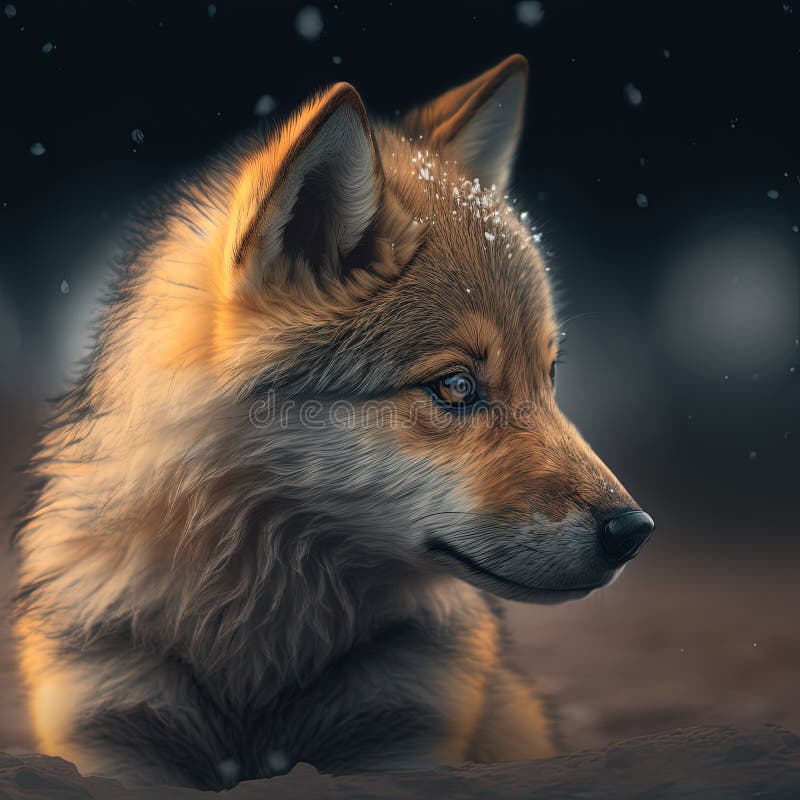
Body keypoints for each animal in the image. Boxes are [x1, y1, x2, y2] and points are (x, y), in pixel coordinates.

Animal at [12, 54, 654, 789]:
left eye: (549, 378)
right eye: (456, 387)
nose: (634, 530)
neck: (255, 660)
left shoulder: (399, 734)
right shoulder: (114, 731)